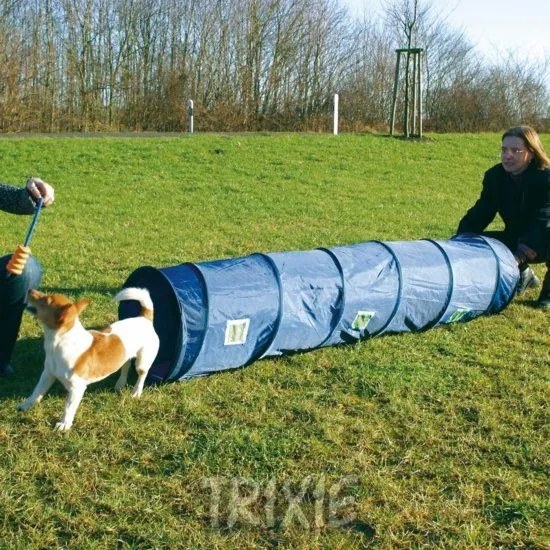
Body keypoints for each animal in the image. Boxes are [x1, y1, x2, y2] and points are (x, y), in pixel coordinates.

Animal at [18, 286, 160, 434]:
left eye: (46, 300)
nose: (29, 289)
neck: (57, 344)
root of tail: (144, 318)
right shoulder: (48, 375)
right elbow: (36, 392)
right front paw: (26, 405)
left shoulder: (76, 388)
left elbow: (68, 407)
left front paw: (64, 424)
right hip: (126, 355)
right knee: (125, 366)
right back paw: (120, 384)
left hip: (142, 362)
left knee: (142, 375)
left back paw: (136, 392)